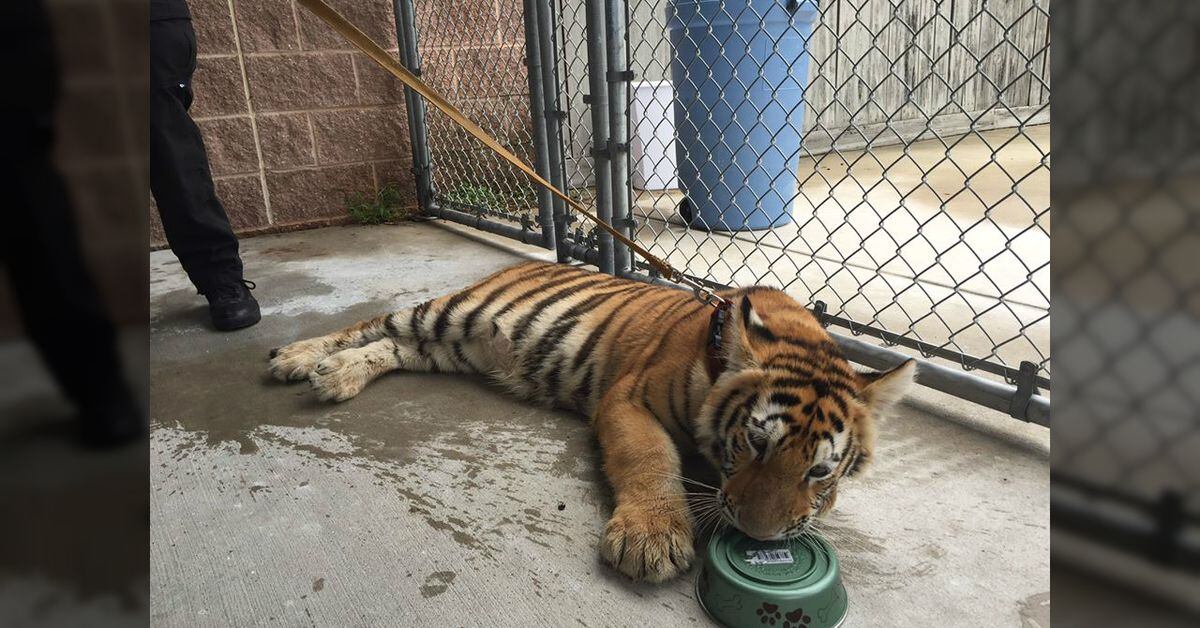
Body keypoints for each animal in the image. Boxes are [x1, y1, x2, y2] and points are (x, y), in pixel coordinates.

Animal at [267, 260, 914, 582]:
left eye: (819, 471)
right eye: (755, 442)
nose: (757, 537)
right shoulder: (629, 401)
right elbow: (650, 461)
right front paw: (651, 539)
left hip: (447, 348)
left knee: (389, 348)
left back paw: (337, 376)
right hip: (444, 314)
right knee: (368, 325)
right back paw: (297, 358)